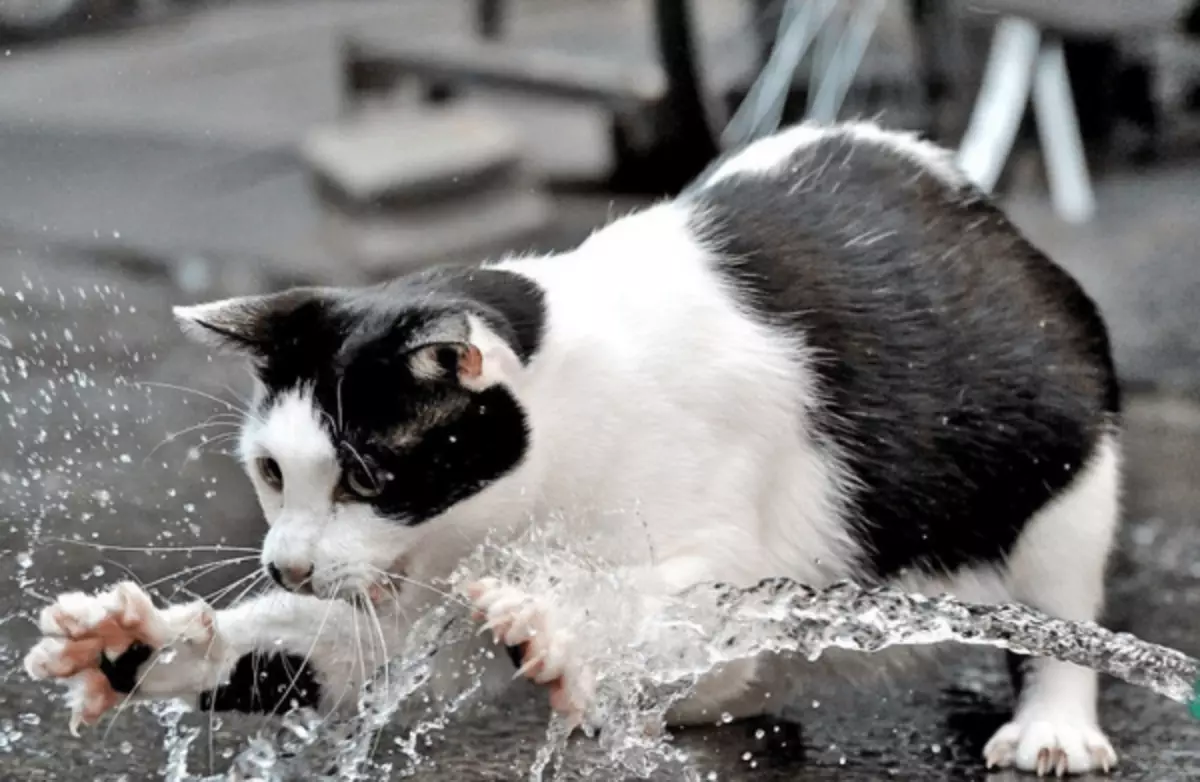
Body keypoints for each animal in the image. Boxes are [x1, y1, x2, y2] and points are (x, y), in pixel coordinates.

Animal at [23, 122, 1118, 777]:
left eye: (369, 475)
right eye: (271, 472)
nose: (283, 560)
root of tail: (960, 190)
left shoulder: (751, 560)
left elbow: (660, 606)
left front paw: (555, 624)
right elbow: (295, 648)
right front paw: (130, 641)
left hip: (1062, 470)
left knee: (1061, 606)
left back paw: (1055, 727)